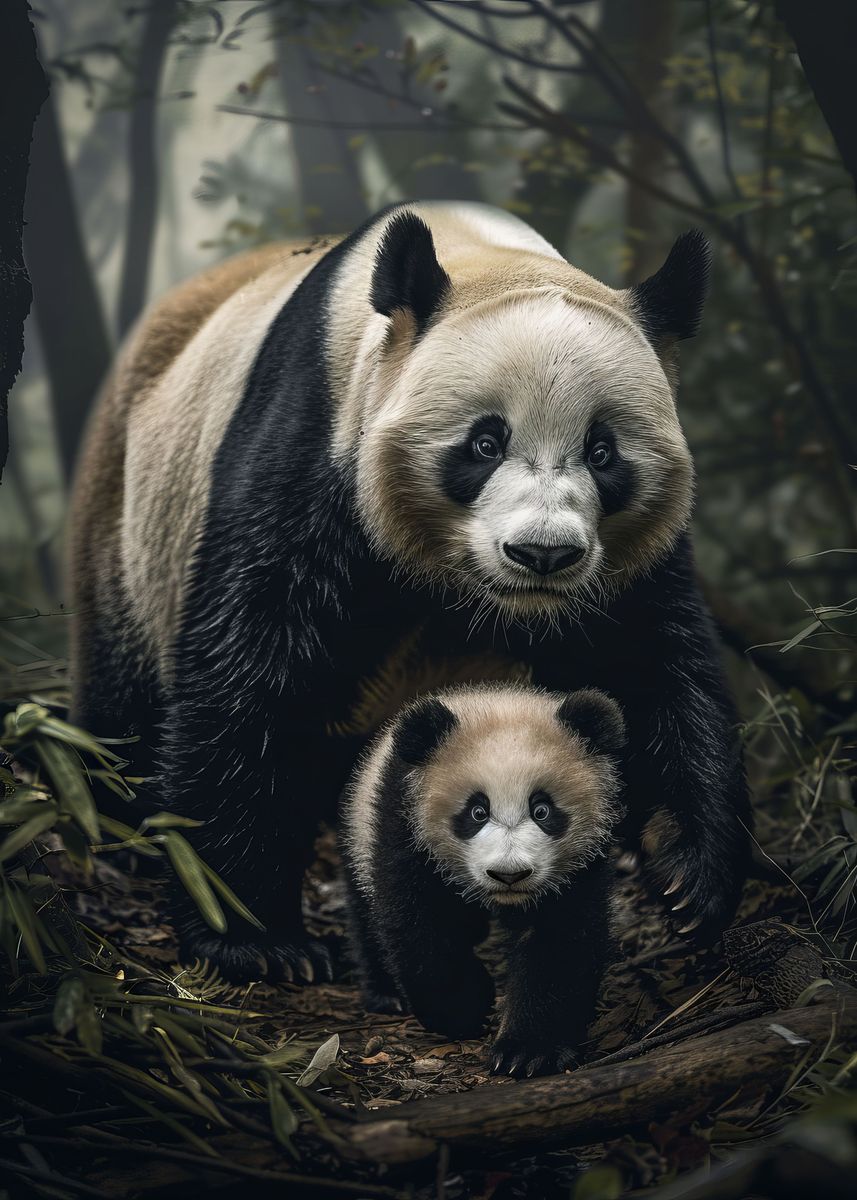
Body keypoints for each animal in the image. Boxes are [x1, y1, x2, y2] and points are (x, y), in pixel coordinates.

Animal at [69, 201, 750, 983]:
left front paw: (686, 874)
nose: (542, 554)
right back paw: (123, 828)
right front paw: (254, 939)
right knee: (125, 700)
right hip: (129, 519)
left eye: (602, 452)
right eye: (484, 442)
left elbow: (648, 667)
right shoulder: (318, 443)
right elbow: (253, 668)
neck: (482, 254)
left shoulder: (624, 564)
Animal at [341, 684, 626, 1077]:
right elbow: (417, 919)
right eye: (477, 812)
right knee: (367, 913)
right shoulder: (402, 817)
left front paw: (529, 1051)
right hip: (360, 828)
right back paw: (386, 994)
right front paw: (464, 1007)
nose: (509, 874)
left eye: (542, 810)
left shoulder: (581, 863)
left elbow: (560, 936)